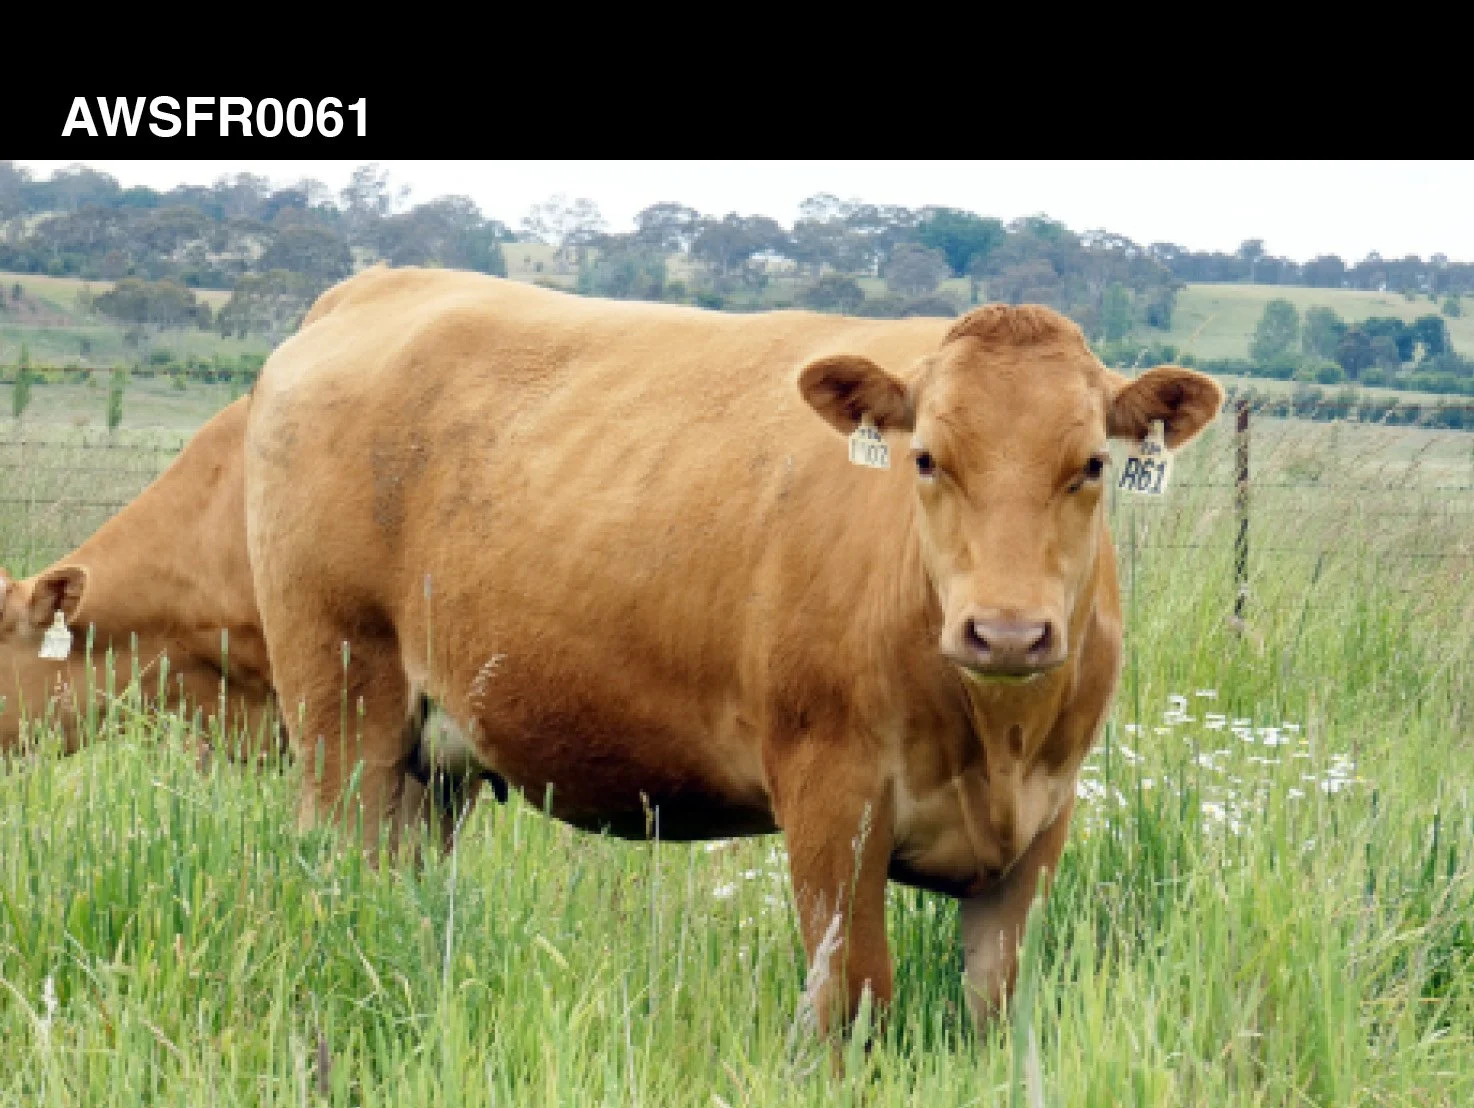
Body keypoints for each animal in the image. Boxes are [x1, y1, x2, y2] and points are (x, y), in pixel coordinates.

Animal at [242, 265, 1224, 1039]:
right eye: (927, 459)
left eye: (1092, 464)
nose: (1008, 631)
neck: (995, 739)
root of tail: (378, 286)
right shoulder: (830, 797)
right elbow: (854, 996)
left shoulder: (1042, 821)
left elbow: (994, 1003)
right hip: (341, 711)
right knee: (336, 868)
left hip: (431, 767)